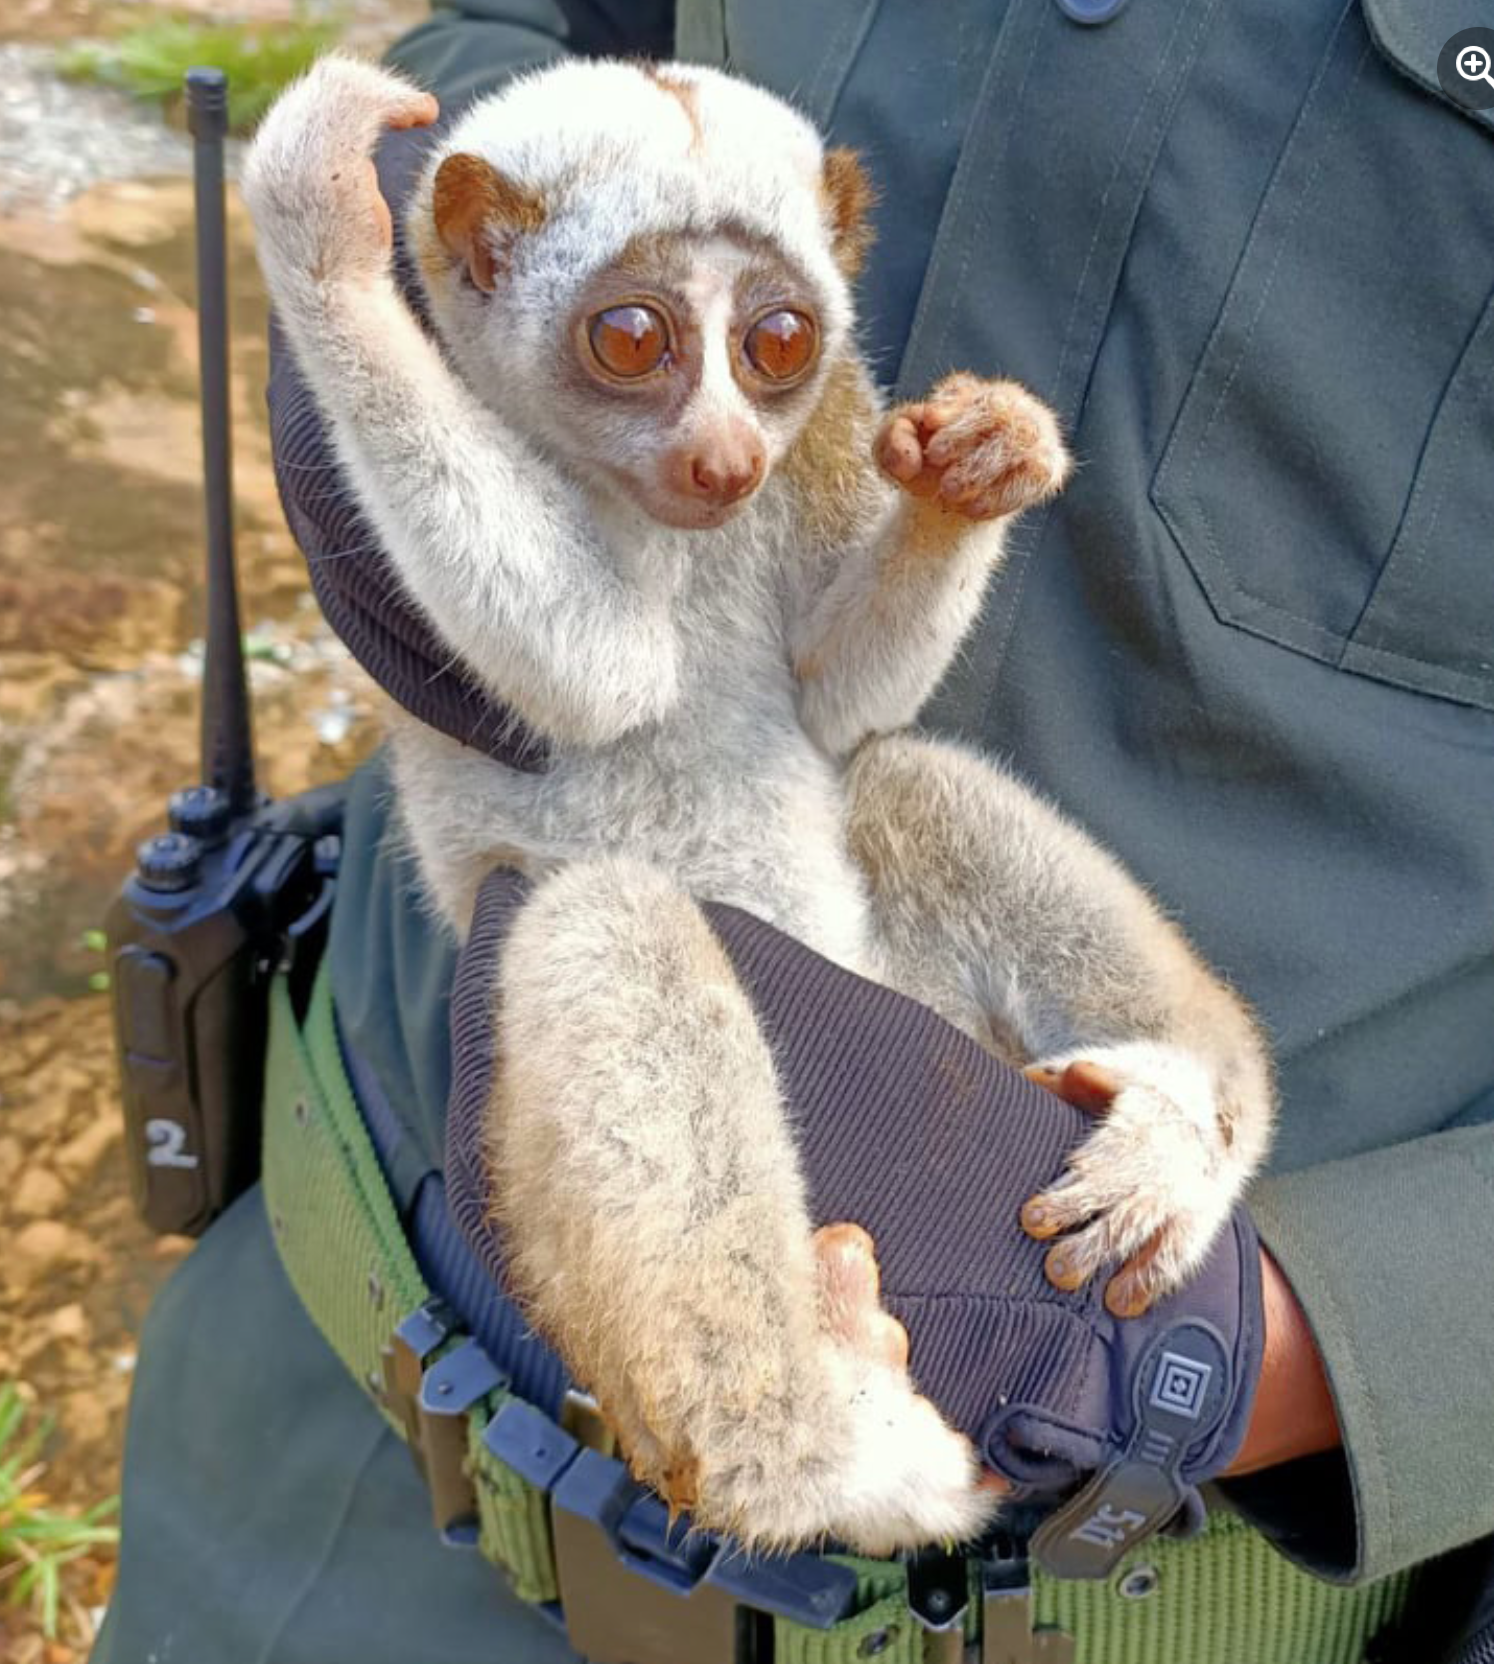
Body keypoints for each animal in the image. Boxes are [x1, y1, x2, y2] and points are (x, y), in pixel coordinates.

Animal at [244, 54, 1275, 1555]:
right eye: (631, 336)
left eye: (780, 341)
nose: (732, 459)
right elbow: (595, 668)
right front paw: (317, 222)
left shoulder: (838, 425)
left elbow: (834, 701)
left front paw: (979, 465)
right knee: (598, 915)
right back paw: (821, 1457)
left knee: (897, 777)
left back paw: (1188, 1111)